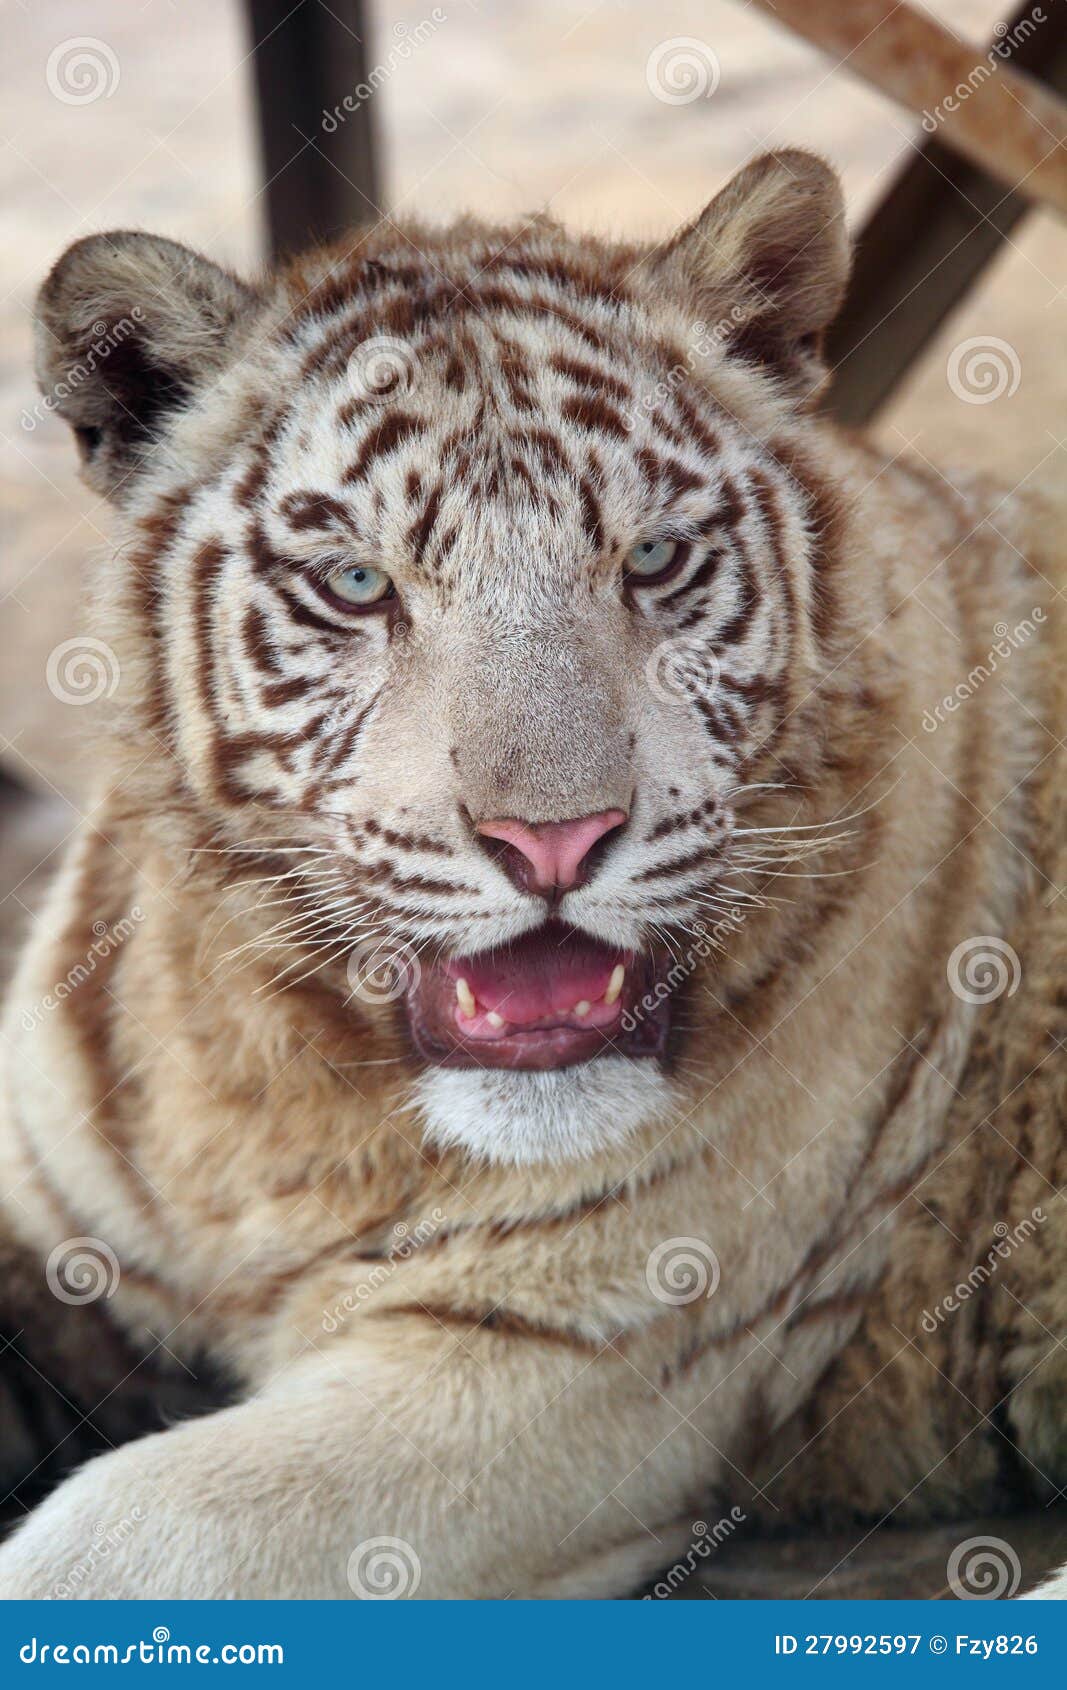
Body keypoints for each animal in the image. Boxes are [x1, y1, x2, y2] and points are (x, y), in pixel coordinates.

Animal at [1, 147, 1066, 1599]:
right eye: (357, 583)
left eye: (654, 559)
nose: (554, 840)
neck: (280, 1081)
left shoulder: (550, 1369)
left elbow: (120, 1537)